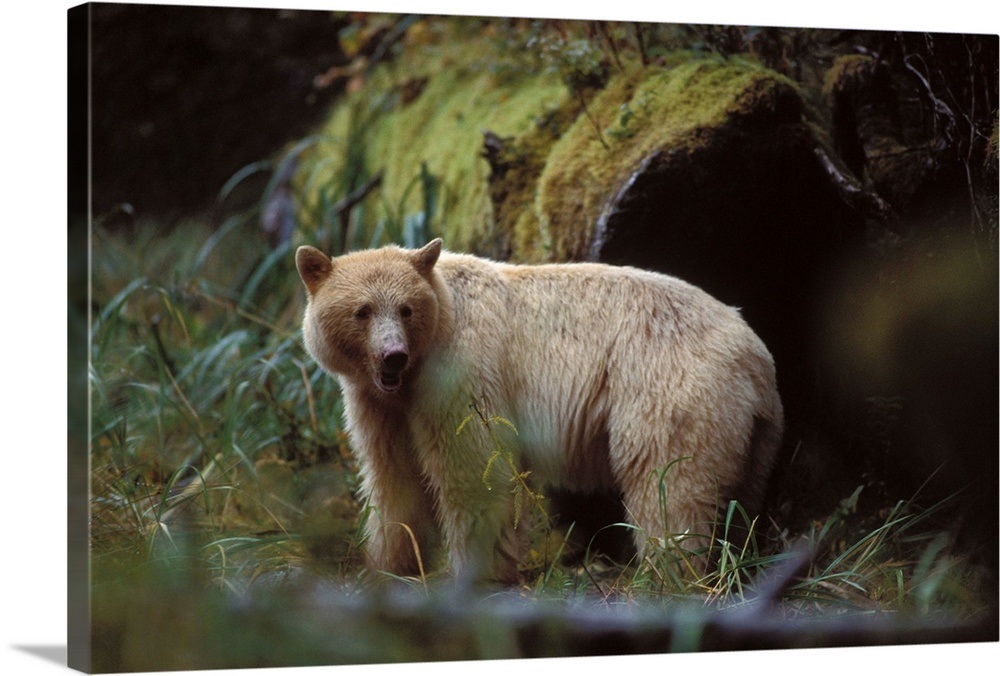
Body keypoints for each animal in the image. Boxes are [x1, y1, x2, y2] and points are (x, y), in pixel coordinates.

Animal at [296, 238, 783, 583]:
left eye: (406, 308)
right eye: (362, 311)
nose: (393, 356)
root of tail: (758, 356)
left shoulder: (460, 372)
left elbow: (473, 469)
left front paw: (478, 569)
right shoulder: (378, 405)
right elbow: (393, 479)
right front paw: (390, 564)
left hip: (669, 392)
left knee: (669, 486)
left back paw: (669, 573)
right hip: (749, 431)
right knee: (738, 497)